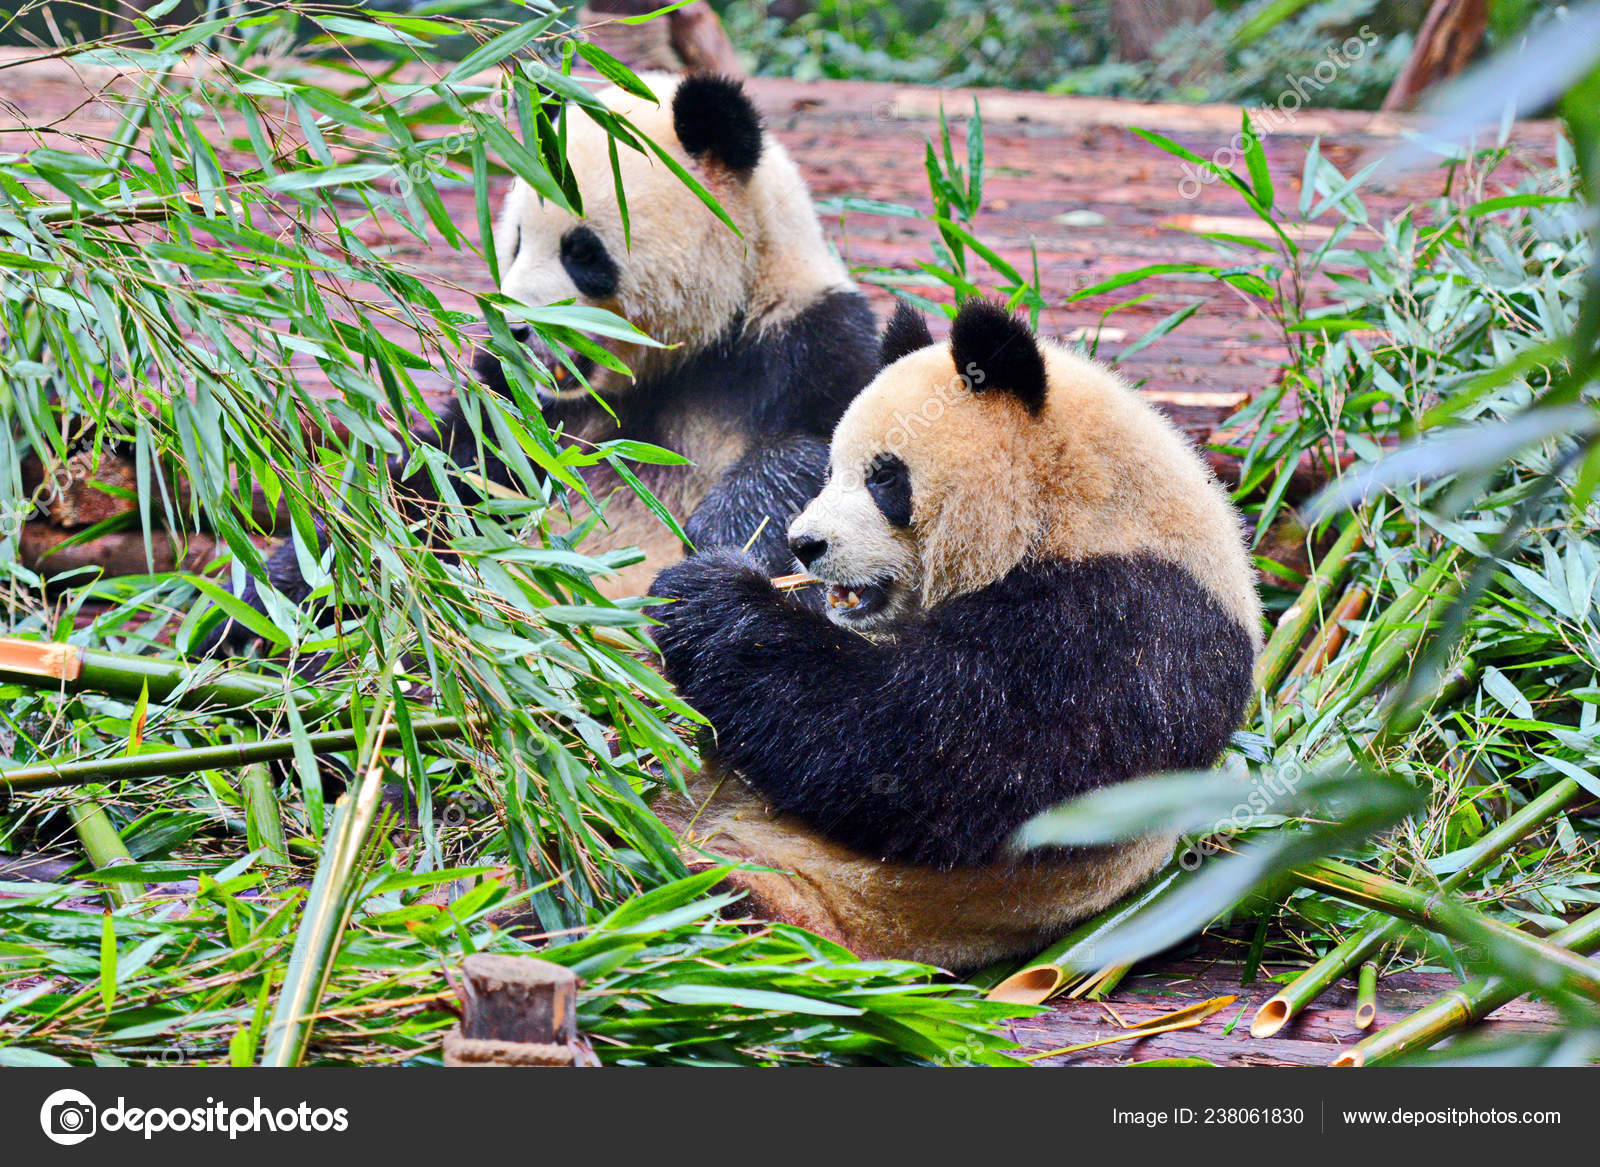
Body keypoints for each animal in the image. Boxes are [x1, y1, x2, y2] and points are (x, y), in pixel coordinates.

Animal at [202, 72, 877, 651]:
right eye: (518, 240)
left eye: (582, 251)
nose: (514, 329)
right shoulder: (523, 416)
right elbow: (437, 481)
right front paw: (264, 591)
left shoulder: (802, 347)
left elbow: (814, 466)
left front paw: (718, 545)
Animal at [646, 299, 1262, 970]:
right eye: (833, 469)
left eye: (884, 478)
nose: (804, 544)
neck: (1084, 508)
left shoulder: (1126, 619)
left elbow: (931, 761)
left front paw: (707, 598)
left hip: (787, 894)